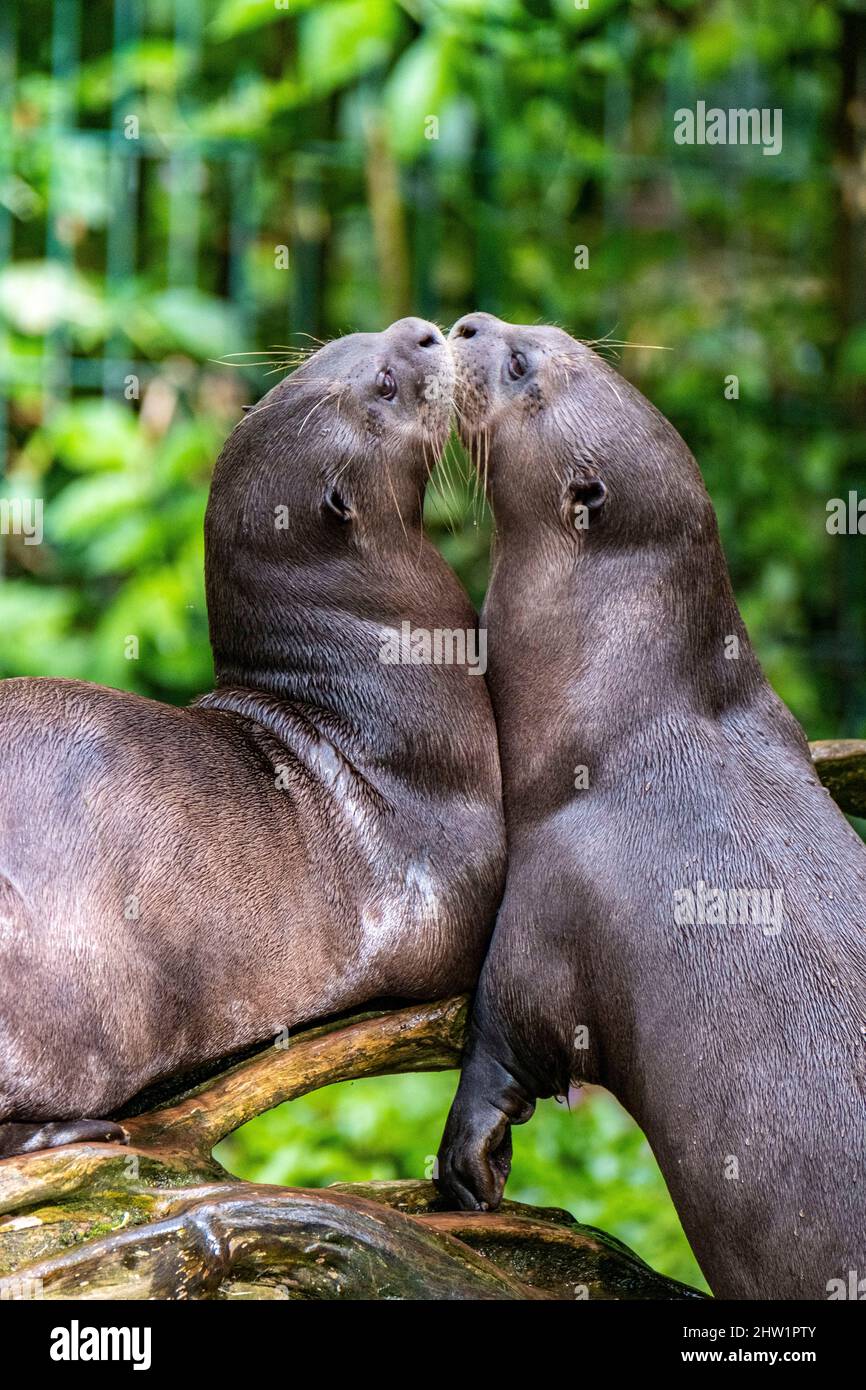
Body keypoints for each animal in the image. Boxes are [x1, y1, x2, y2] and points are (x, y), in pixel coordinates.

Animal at [436, 311, 866, 1300]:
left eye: (520, 364)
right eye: (546, 331)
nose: (469, 322)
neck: (626, 721)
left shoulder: (555, 901)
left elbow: (505, 1033)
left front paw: (469, 1164)